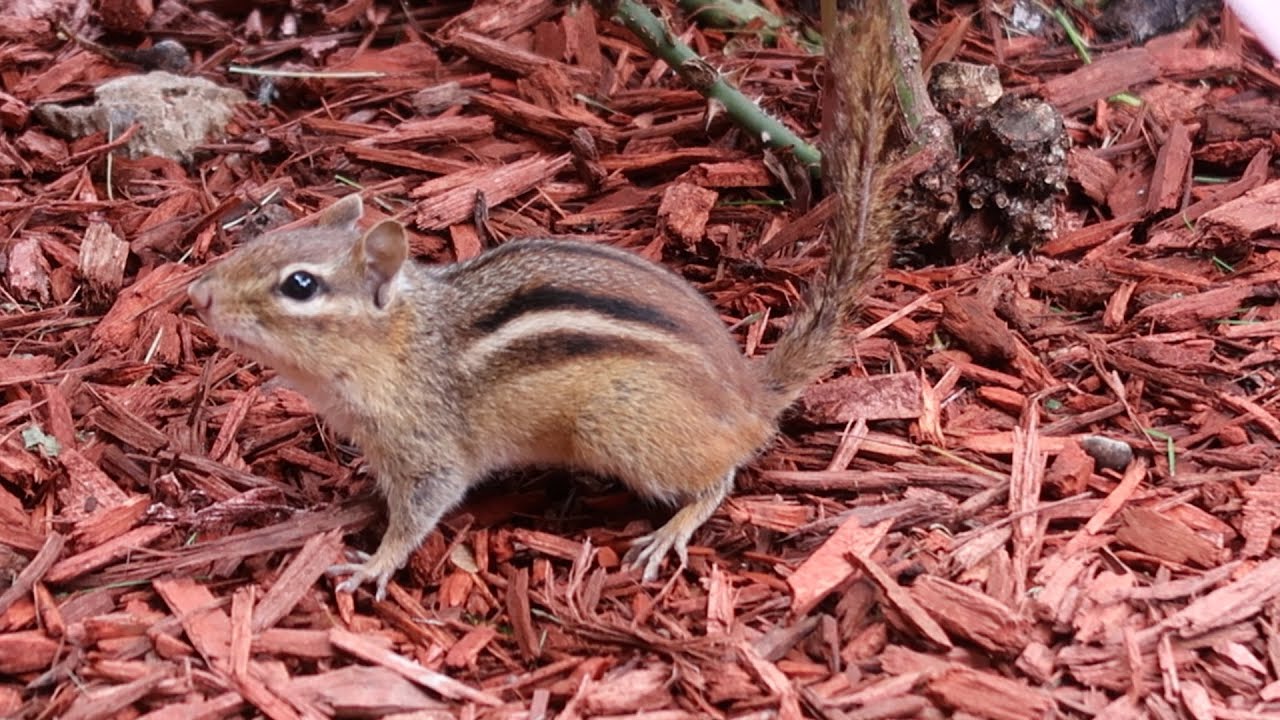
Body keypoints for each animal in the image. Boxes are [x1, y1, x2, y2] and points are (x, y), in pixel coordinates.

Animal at [187, 0, 897, 600]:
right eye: (267, 238)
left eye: (300, 285)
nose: (199, 294)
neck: (401, 347)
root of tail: (750, 393)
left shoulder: (431, 452)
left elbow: (418, 515)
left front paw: (374, 564)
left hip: (620, 428)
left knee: (720, 474)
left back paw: (673, 528)